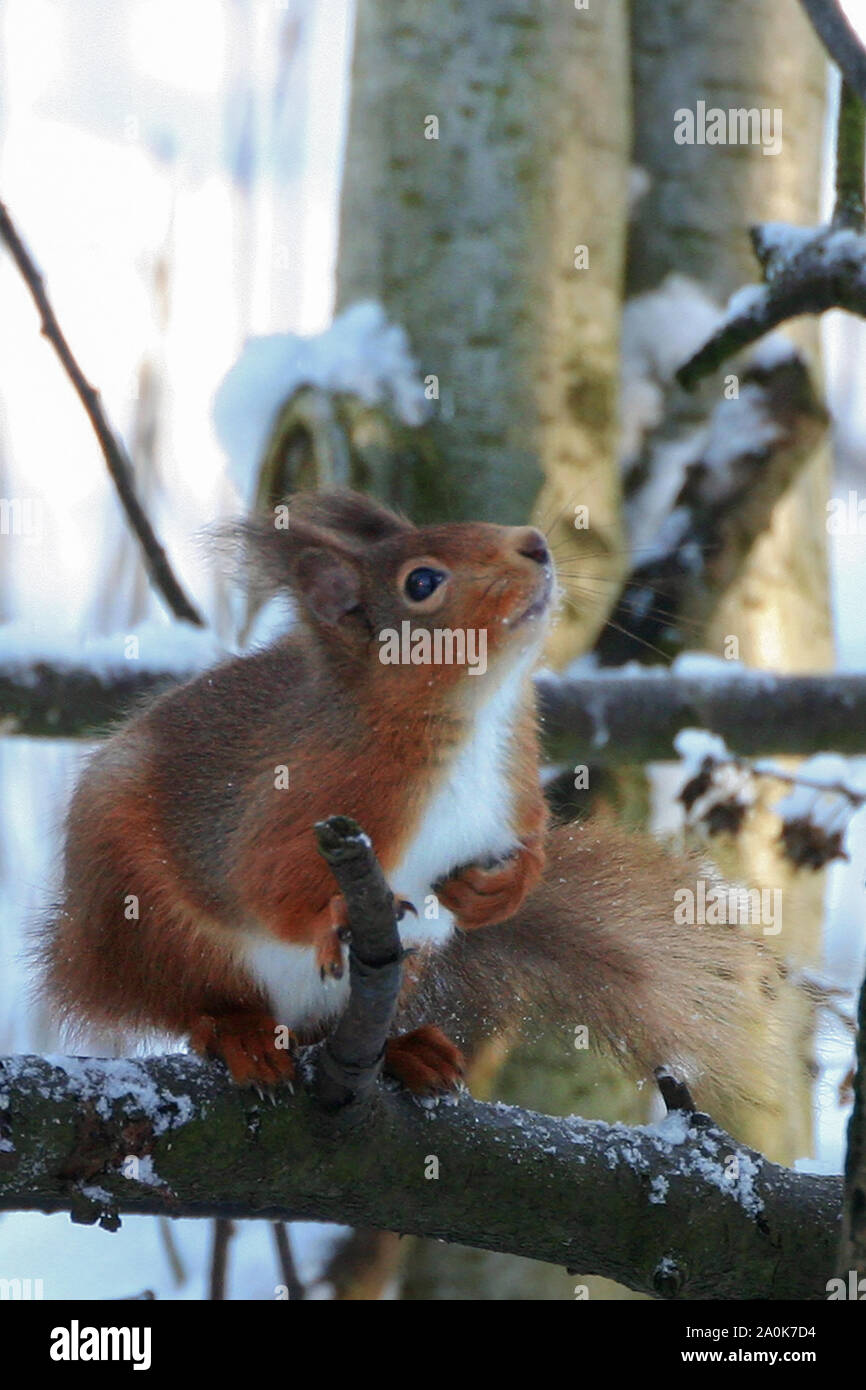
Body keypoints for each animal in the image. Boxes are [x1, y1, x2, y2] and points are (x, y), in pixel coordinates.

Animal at [41, 490, 786, 1102]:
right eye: (422, 582)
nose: (535, 543)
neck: (472, 718)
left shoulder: (514, 791)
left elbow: (532, 849)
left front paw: (498, 890)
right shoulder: (285, 799)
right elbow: (263, 883)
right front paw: (332, 912)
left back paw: (406, 1049)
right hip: (150, 924)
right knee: (184, 1000)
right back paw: (238, 1031)